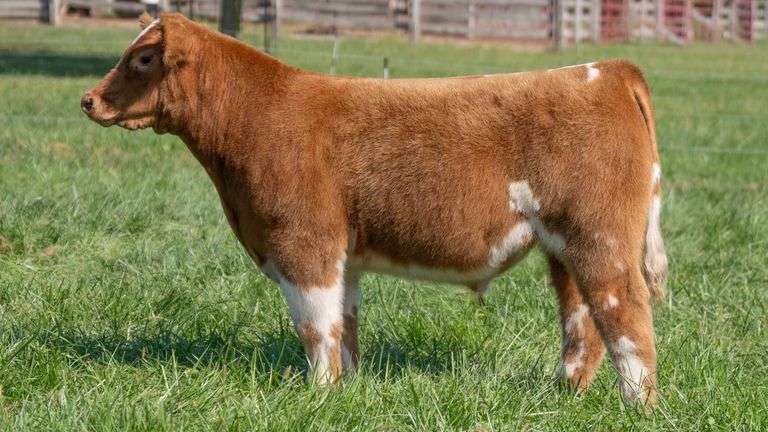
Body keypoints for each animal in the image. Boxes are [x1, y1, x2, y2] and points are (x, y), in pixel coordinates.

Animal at [81, 12, 668, 407]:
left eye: (143, 58)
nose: (88, 100)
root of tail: (607, 68)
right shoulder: (343, 255)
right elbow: (344, 324)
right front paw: (345, 389)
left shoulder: (304, 243)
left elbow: (315, 327)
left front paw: (317, 393)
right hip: (563, 248)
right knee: (582, 321)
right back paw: (566, 393)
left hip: (601, 237)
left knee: (626, 312)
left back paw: (637, 405)